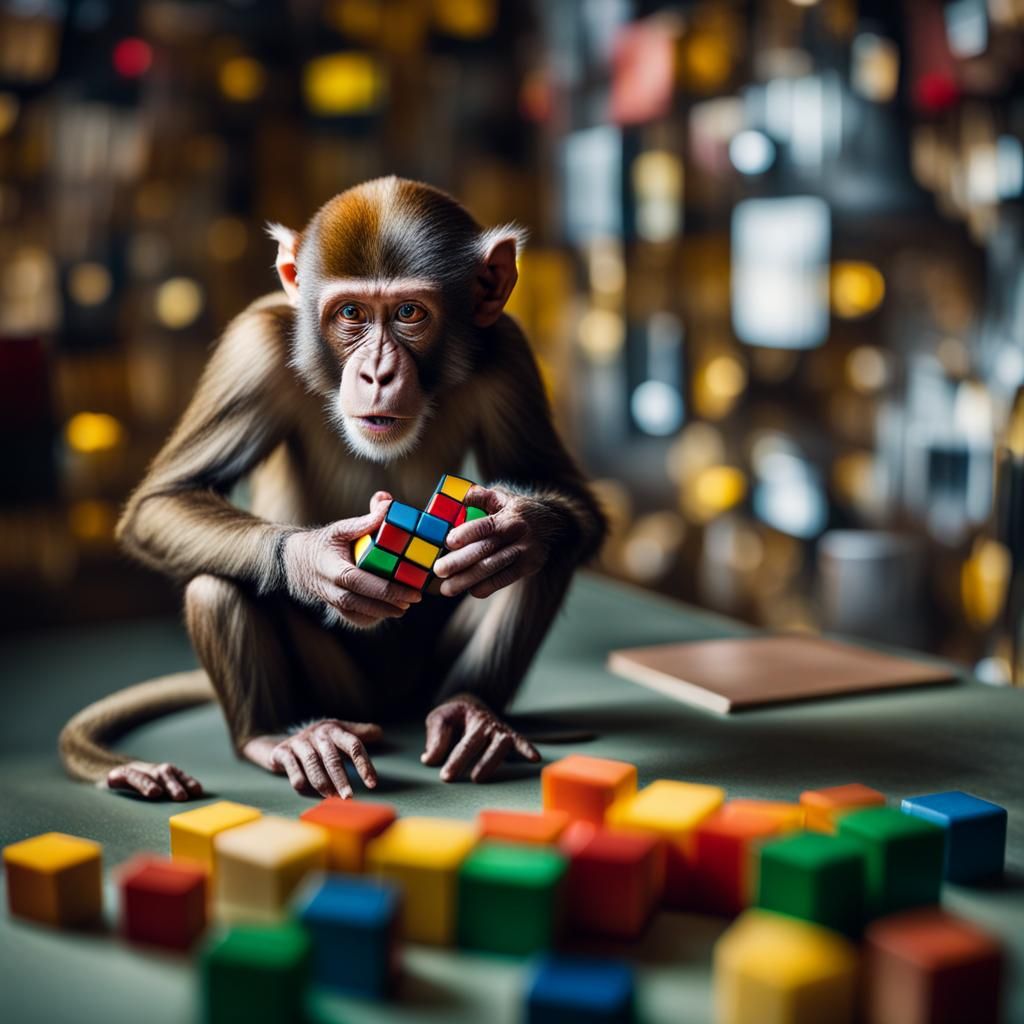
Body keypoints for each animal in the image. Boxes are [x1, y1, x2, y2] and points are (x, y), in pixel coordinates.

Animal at [58, 176, 607, 801]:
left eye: (409, 312)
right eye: (351, 313)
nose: (377, 373)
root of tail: (389, 707)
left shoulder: (508, 353)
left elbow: (558, 492)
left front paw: (515, 532)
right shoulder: (251, 347)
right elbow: (165, 499)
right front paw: (309, 560)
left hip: (422, 685)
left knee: (544, 566)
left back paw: (472, 710)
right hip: (336, 691)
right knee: (215, 582)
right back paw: (279, 737)